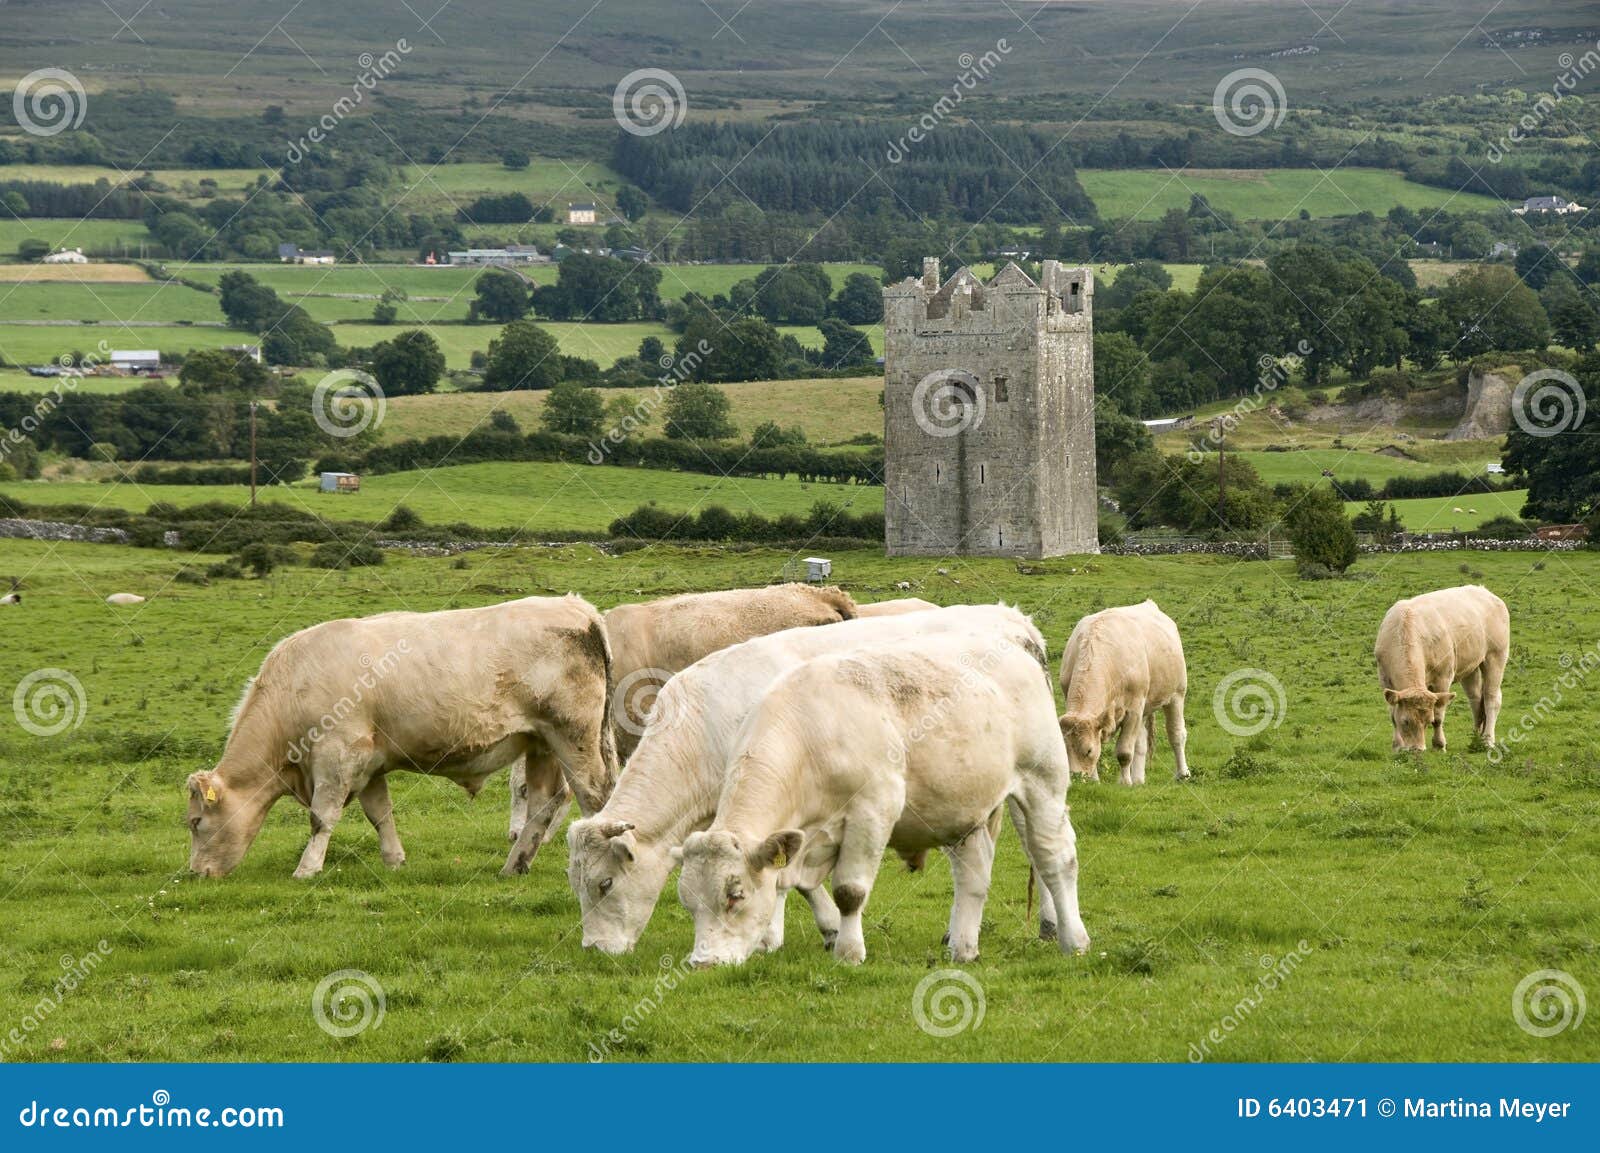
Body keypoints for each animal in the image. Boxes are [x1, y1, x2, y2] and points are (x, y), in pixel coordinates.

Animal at [187, 595, 618, 879]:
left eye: (194, 822)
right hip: (541, 742)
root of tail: (579, 608)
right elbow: (380, 813)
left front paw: (307, 869)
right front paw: (394, 860)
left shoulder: (336, 755)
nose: (194, 873)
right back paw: (515, 864)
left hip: (573, 737)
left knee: (593, 796)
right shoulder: (369, 764)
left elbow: (321, 818)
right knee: (545, 803)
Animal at [562, 603, 1038, 954]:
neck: (705, 724)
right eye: (575, 884)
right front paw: (819, 929)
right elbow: (796, 877)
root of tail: (1009, 615)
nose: (594, 949)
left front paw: (780, 935)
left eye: (604, 883)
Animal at [676, 628, 1089, 967]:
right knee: (974, 872)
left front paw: (849, 952)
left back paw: (1074, 939)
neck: (811, 732)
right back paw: (963, 947)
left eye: (735, 896)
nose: (703, 964)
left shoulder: (872, 811)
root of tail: (1016, 644)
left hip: (1043, 781)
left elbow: (849, 892)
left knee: (1056, 858)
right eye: (687, 903)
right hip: (962, 808)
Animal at [1058, 600, 1190, 785]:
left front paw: (1124, 783)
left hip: (1177, 694)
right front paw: (1096, 782)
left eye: (1088, 751)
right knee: (1141, 743)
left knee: (1176, 734)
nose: (1075, 778)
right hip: (1145, 708)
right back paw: (1138, 779)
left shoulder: (1134, 709)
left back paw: (1182, 773)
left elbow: (1124, 752)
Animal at [1375, 584, 1509, 751]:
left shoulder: (1443, 677)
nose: (1418, 749)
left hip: (1496, 656)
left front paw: (1439, 745)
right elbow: (1393, 715)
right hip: (1470, 667)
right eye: (1405, 721)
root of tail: (1484, 591)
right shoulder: (1384, 679)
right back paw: (1475, 739)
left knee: (1491, 699)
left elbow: (1439, 716)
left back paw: (1487, 741)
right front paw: (1397, 746)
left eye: (1428, 721)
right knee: (1476, 700)